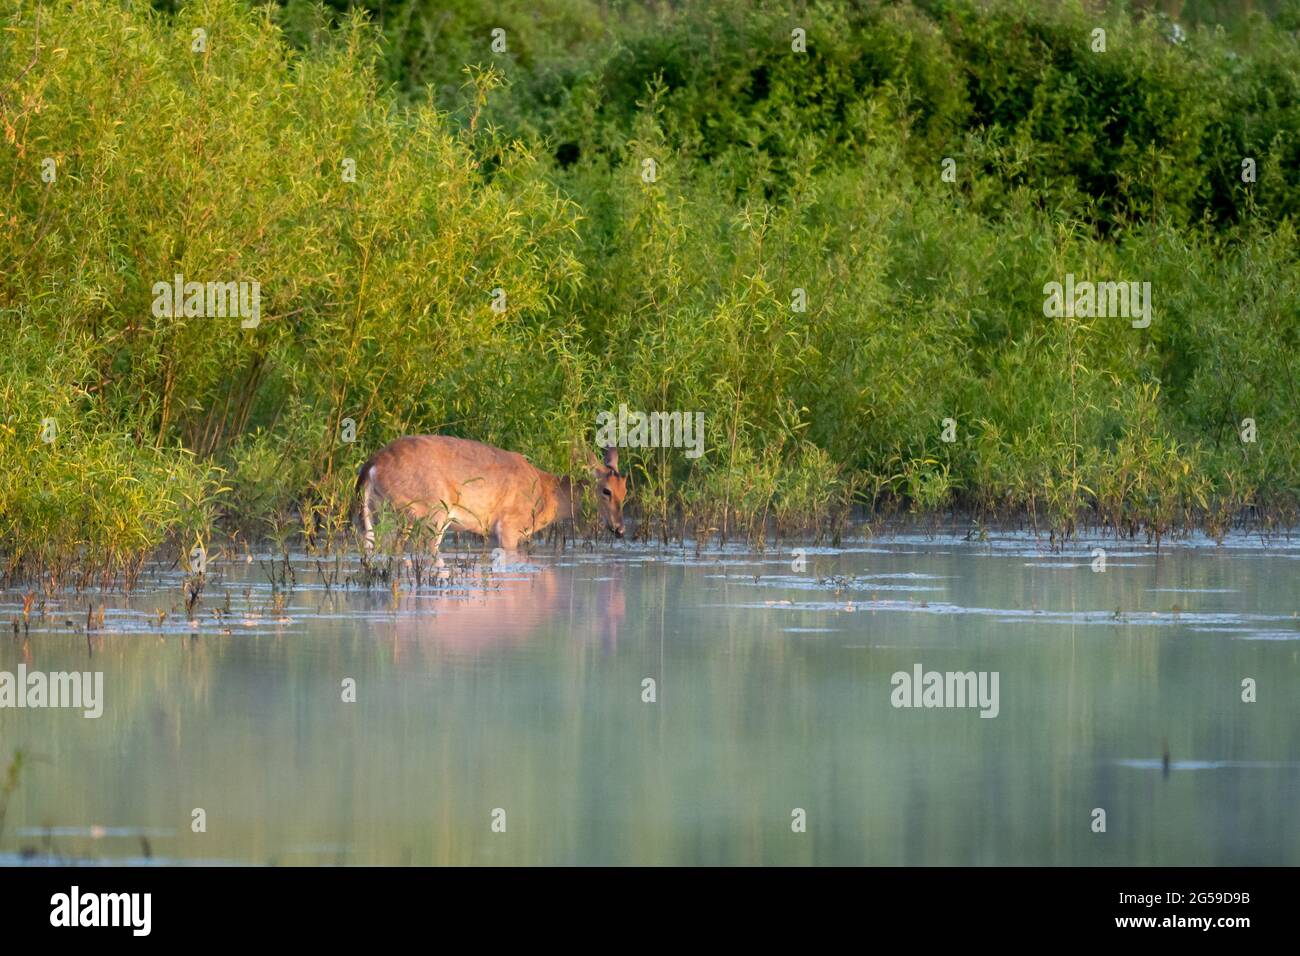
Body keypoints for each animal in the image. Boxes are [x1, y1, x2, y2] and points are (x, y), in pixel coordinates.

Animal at [355, 435, 627, 555]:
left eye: (626, 490)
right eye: (606, 490)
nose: (620, 529)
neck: (546, 494)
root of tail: (371, 466)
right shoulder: (509, 527)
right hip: (429, 513)